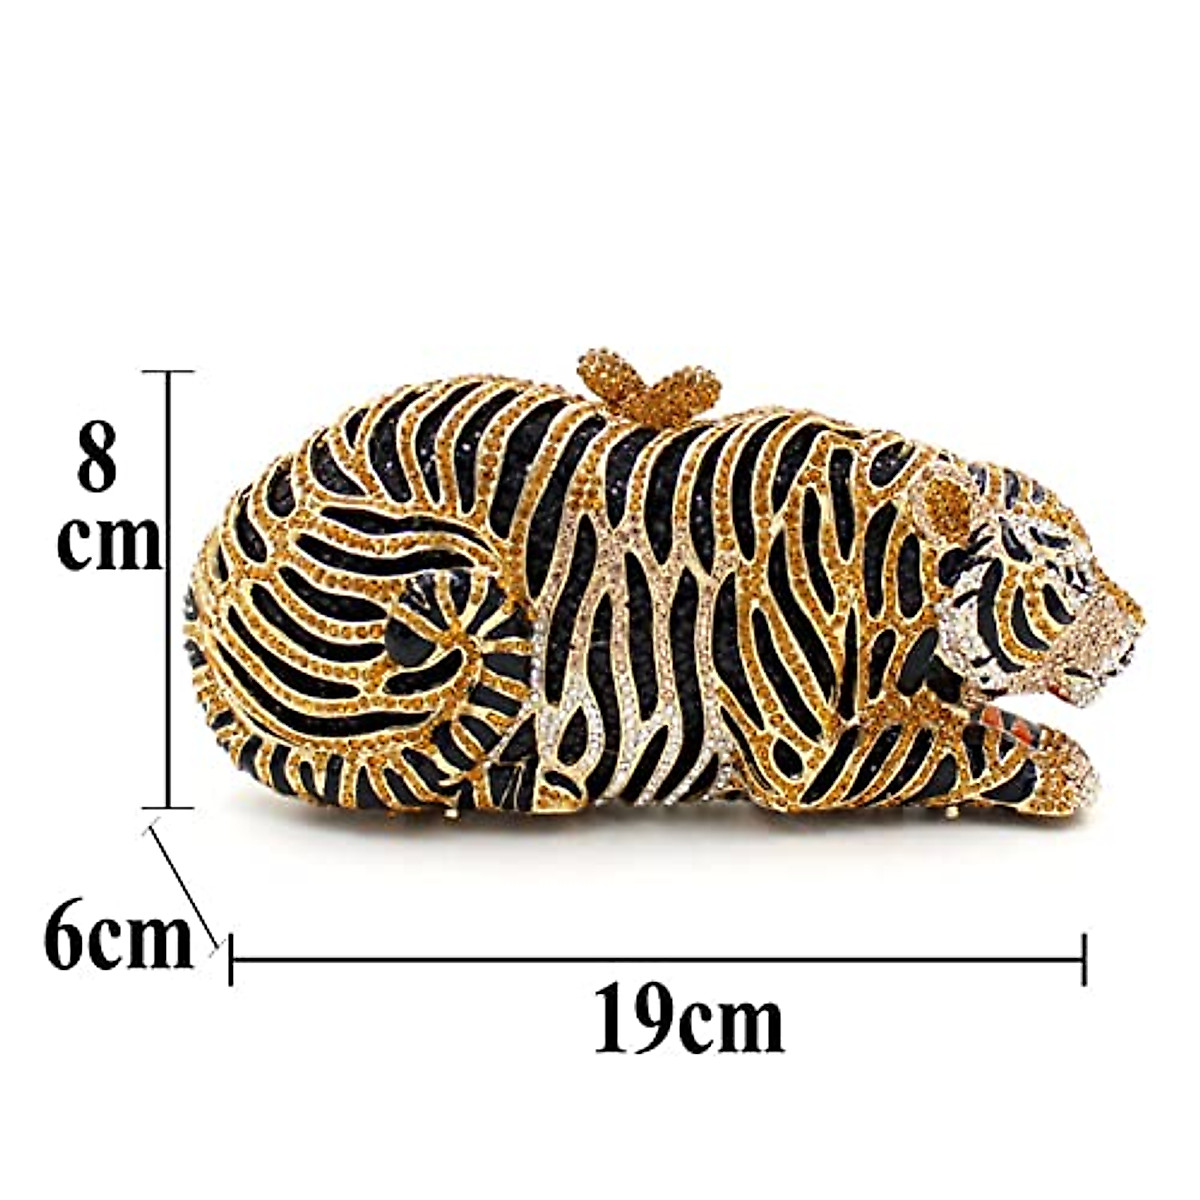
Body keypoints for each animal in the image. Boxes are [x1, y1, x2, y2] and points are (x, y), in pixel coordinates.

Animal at [184, 348, 1143, 820]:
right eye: (1070, 566)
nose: (1137, 635)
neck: (880, 578)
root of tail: (202, 590)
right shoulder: (805, 762)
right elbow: (954, 753)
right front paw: (1067, 777)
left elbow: (980, 730)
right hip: (451, 596)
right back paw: (537, 788)